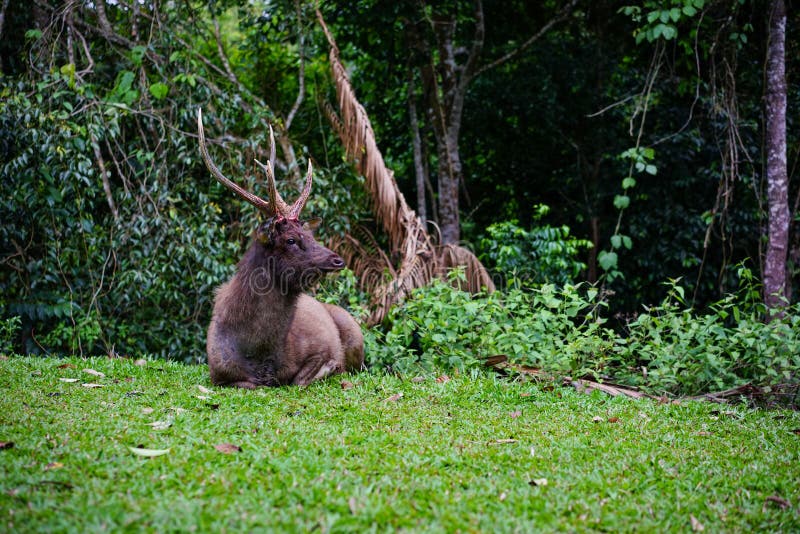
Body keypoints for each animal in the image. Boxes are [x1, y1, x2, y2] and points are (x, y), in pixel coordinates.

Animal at [197, 109, 364, 388]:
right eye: (291, 240)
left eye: (310, 234)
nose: (337, 259)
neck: (259, 353)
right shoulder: (218, 372)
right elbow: (247, 383)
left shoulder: (319, 350)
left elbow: (303, 377)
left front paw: (330, 368)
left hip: (354, 331)